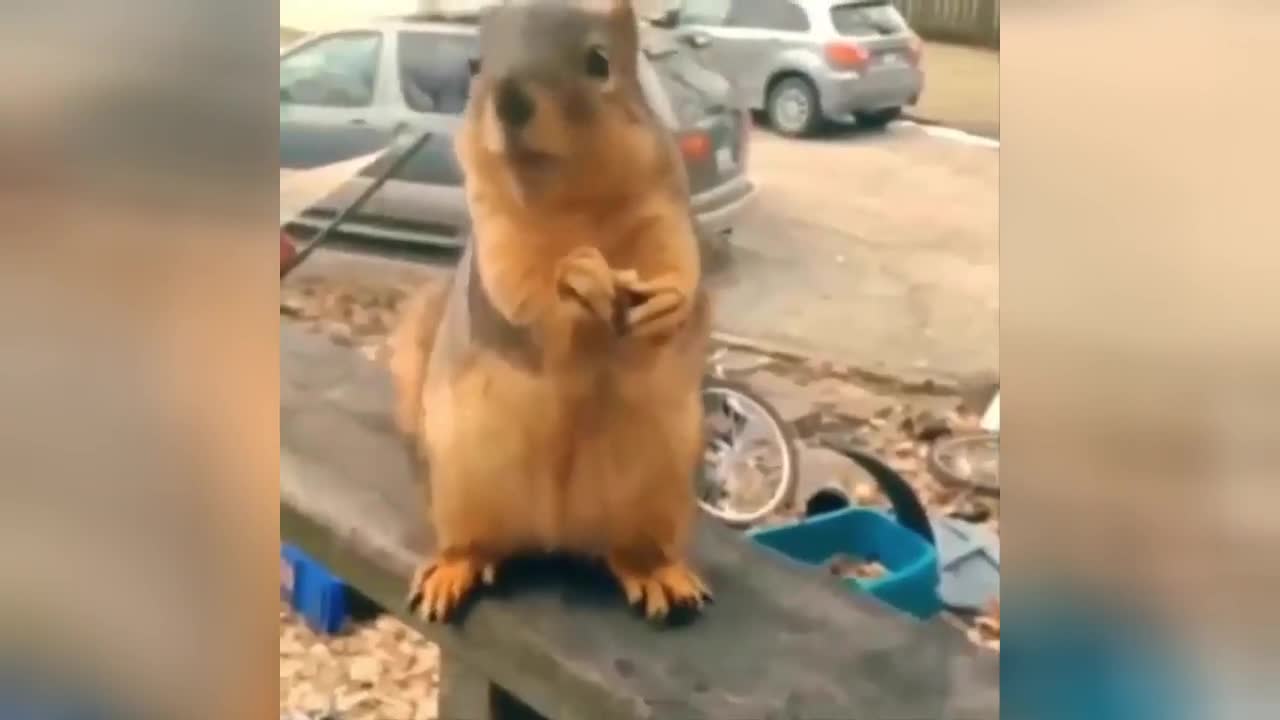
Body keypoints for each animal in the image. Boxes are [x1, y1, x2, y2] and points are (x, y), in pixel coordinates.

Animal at [389, 0, 712, 623]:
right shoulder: (497, 247)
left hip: (656, 494)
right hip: (463, 484)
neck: (571, 205)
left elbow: (679, 270)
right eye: (474, 66)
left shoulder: (666, 214)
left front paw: (668, 304)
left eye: (599, 62)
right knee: (474, 542)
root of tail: (556, 535)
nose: (510, 97)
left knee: (631, 549)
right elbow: (525, 297)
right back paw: (453, 569)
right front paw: (574, 280)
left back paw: (658, 573)